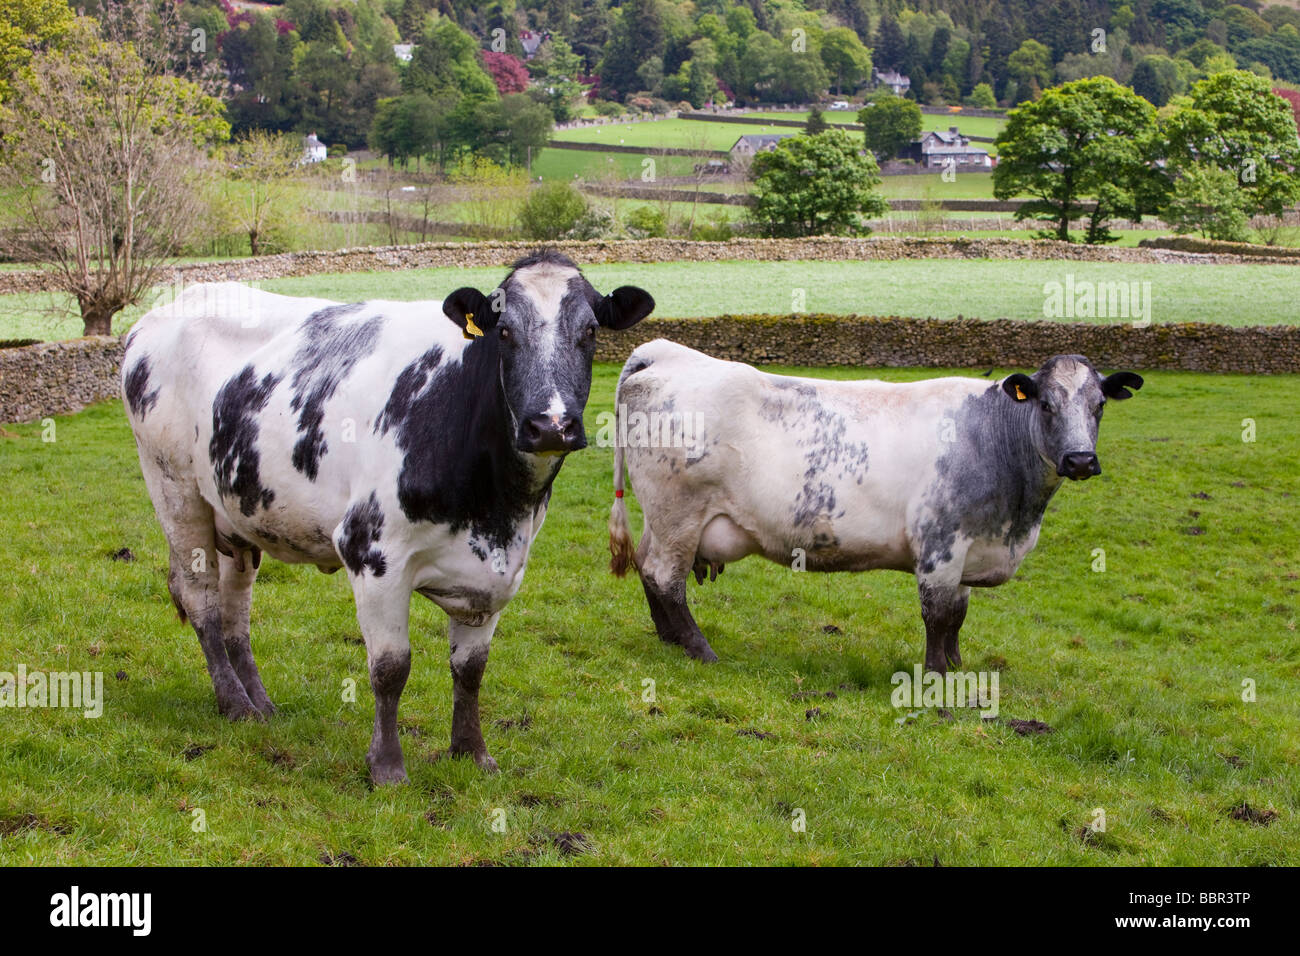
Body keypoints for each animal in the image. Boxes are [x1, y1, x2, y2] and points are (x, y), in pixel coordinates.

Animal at [122, 250, 653, 784]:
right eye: (504, 331)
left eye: (590, 331)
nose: (550, 425)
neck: (499, 509)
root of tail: (156, 315)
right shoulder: (372, 553)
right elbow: (391, 668)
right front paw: (387, 766)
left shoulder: (496, 573)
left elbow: (471, 670)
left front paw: (472, 752)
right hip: (173, 489)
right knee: (202, 600)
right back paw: (234, 704)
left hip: (237, 511)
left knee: (237, 608)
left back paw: (260, 702)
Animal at [608, 341, 1143, 673]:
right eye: (1046, 405)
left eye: (1099, 405)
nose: (1080, 459)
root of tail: (666, 354)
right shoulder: (940, 546)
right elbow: (938, 616)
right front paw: (937, 676)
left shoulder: (967, 551)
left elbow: (959, 616)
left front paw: (957, 666)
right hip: (678, 513)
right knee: (664, 576)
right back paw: (701, 650)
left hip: (663, 517)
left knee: (648, 569)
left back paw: (670, 640)